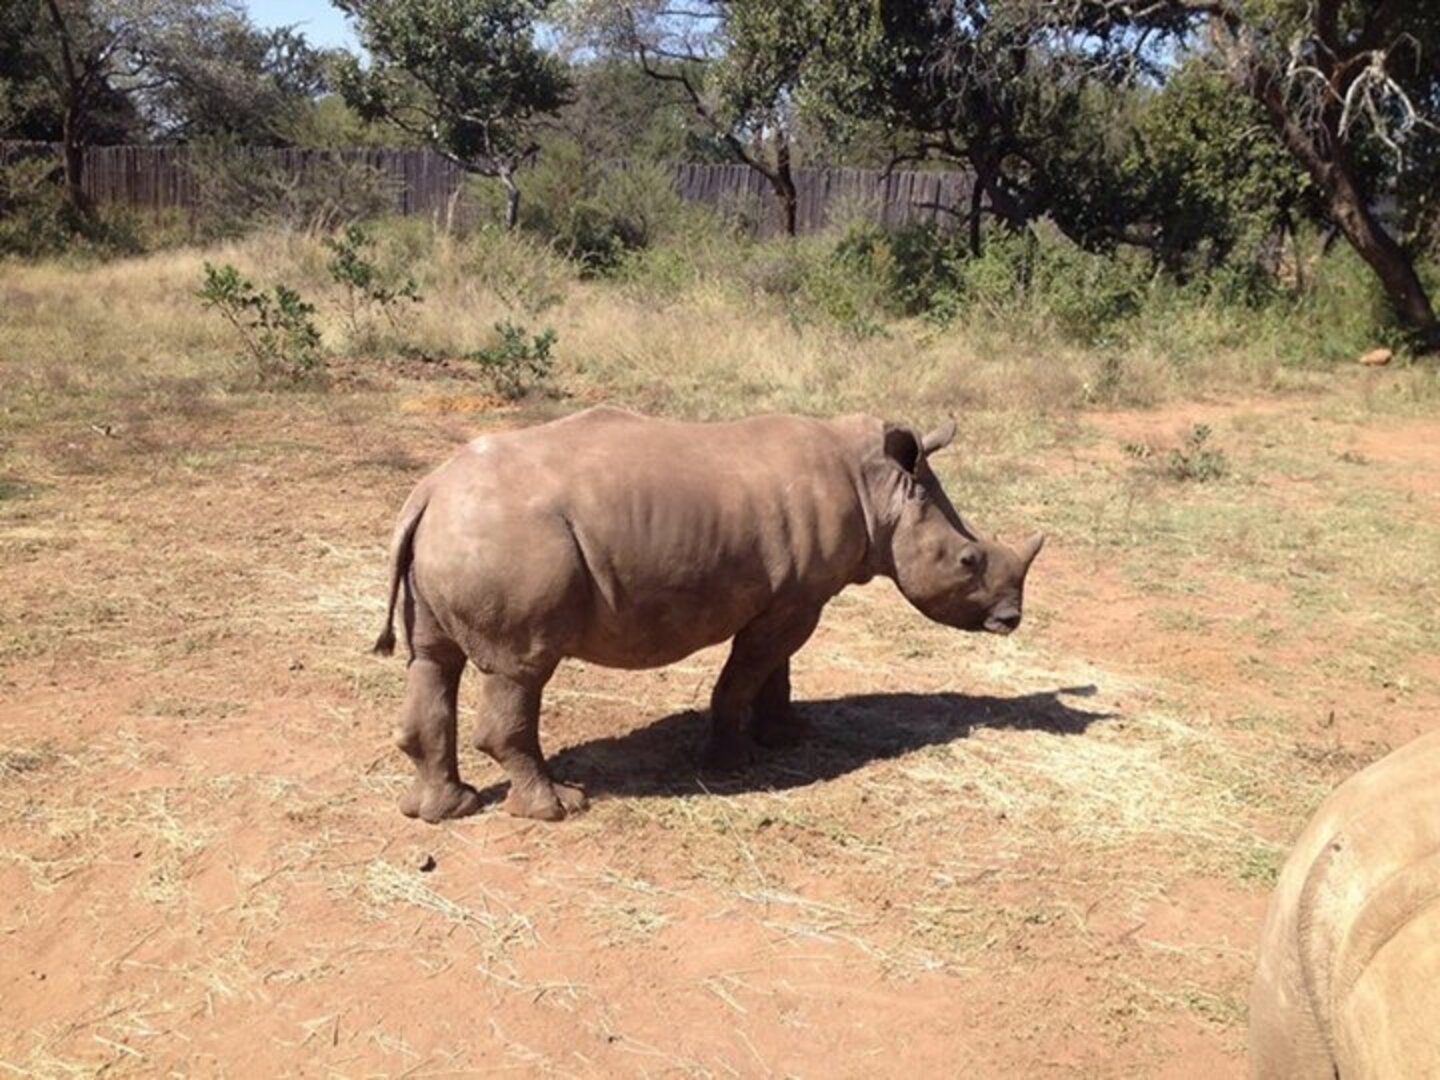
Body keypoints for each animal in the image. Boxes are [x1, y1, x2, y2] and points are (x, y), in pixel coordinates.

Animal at [373, 406, 1044, 822]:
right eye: (967, 561)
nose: (1010, 619)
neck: (878, 488)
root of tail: (428, 492)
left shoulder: (795, 594)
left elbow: (777, 669)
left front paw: (789, 734)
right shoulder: (792, 599)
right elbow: (745, 674)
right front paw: (730, 761)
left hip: (460, 534)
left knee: (432, 660)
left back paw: (442, 810)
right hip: (510, 540)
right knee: (520, 670)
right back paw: (560, 808)